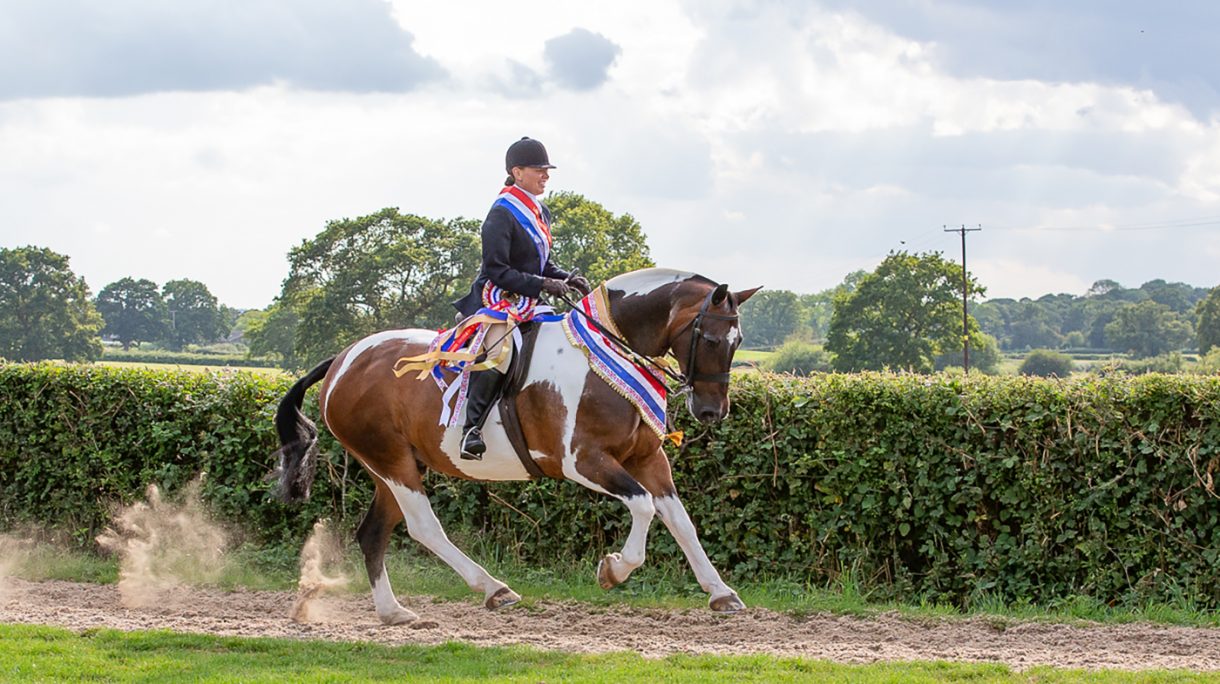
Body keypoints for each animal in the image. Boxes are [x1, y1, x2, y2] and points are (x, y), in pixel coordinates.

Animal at [271, 267, 760, 625]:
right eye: (711, 339)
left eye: (738, 341)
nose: (712, 411)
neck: (605, 354)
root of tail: (343, 359)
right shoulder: (583, 460)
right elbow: (643, 507)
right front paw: (613, 569)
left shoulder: (646, 458)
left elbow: (681, 522)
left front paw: (722, 593)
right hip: (390, 461)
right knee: (424, 527)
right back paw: (494, 589)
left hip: (395, 466)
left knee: (373, 533)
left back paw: (394, 612)